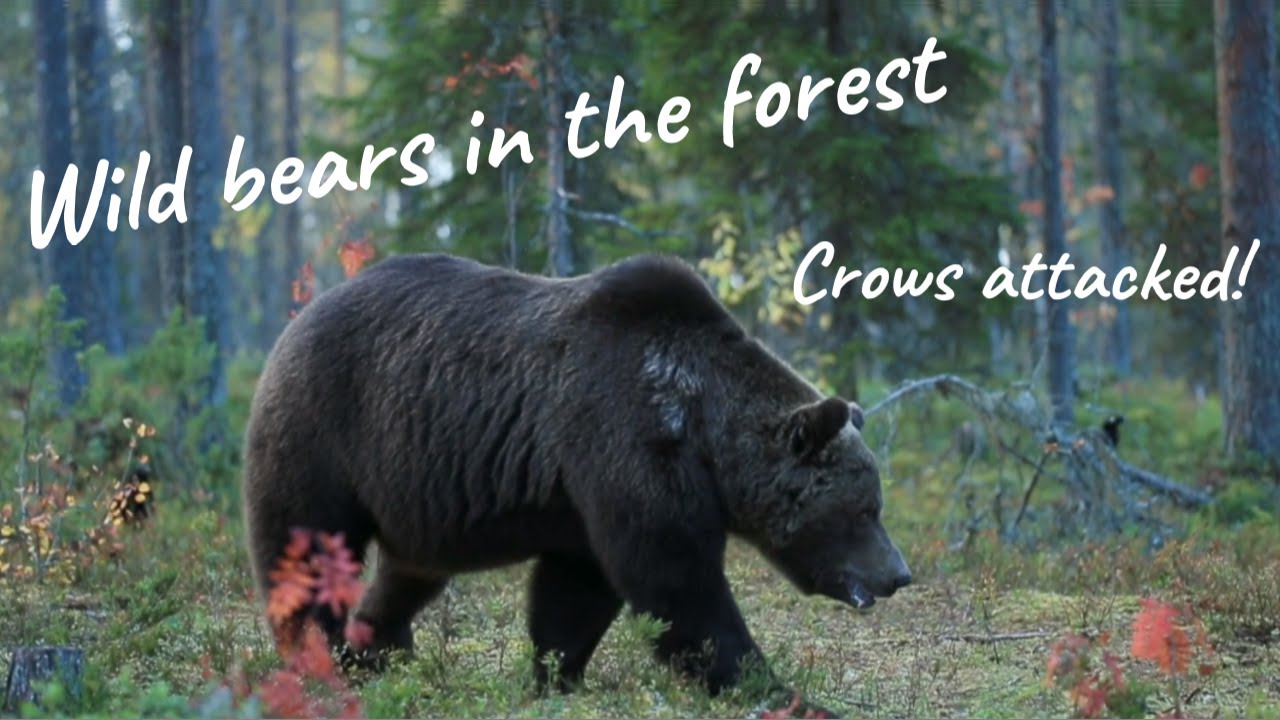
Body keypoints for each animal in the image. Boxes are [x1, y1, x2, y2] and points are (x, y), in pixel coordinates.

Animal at [242, 252, 912, 696]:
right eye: (866, 508)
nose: (899, 574)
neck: (704, 433)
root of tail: (299, 315)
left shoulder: (581, 500)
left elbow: (577, 591)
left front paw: (556, 674)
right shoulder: (626, 435)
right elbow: (677, 585)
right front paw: (769, 686)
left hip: (410, 494)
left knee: (407, 576)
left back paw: (380, 650)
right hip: (325, 430)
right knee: (306, 544)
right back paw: (323, 656)